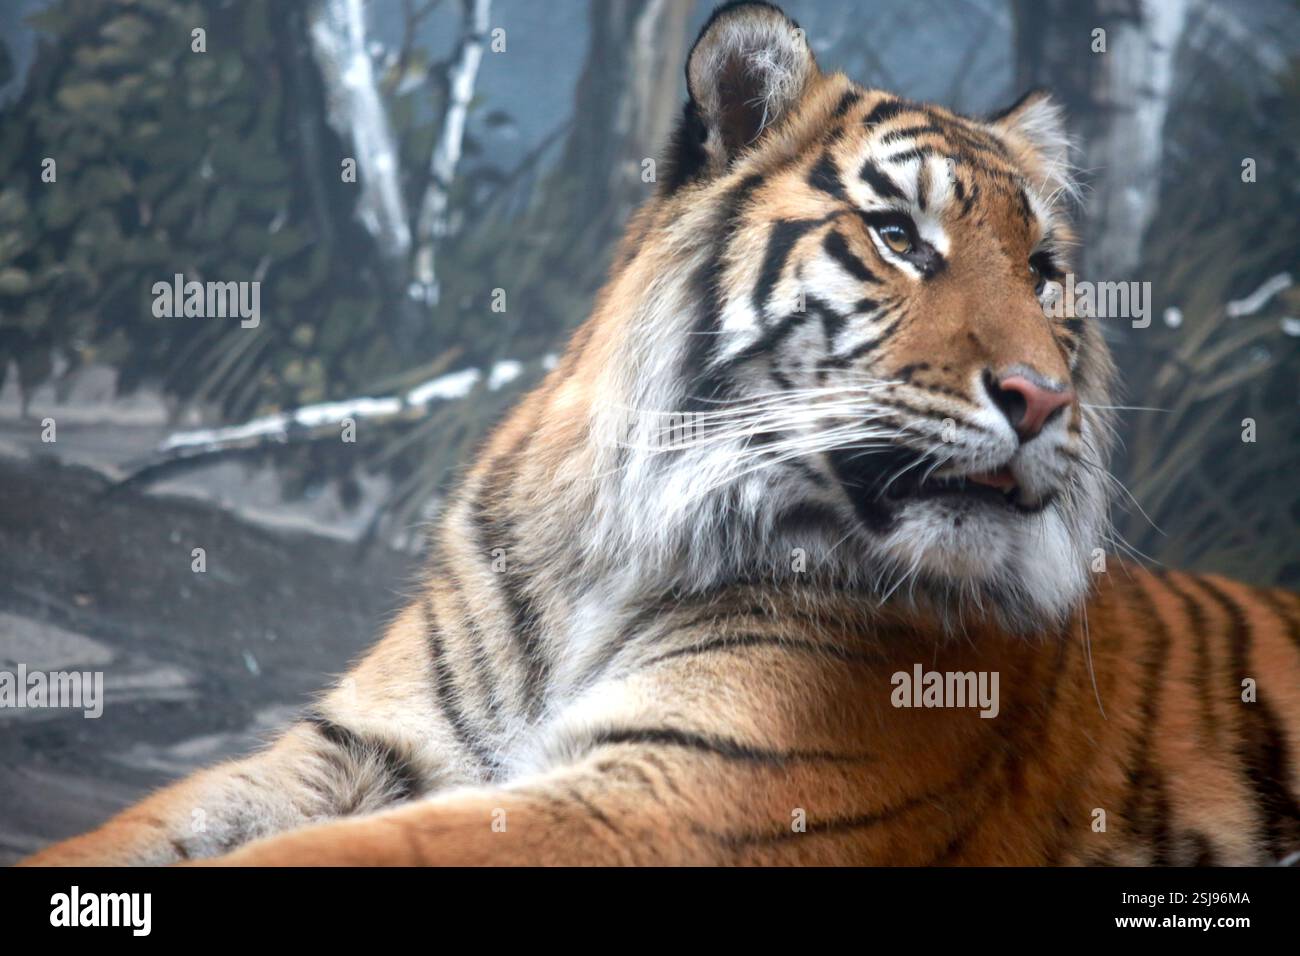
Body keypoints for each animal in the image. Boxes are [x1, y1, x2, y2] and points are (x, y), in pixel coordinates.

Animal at [24, 0, 1300, 867]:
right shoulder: (363, 743)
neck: (610, 548)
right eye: (897, 234)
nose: (1041, 398)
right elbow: (144, 825)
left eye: (1042, 272)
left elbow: (327, 855)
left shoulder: (687, 786)